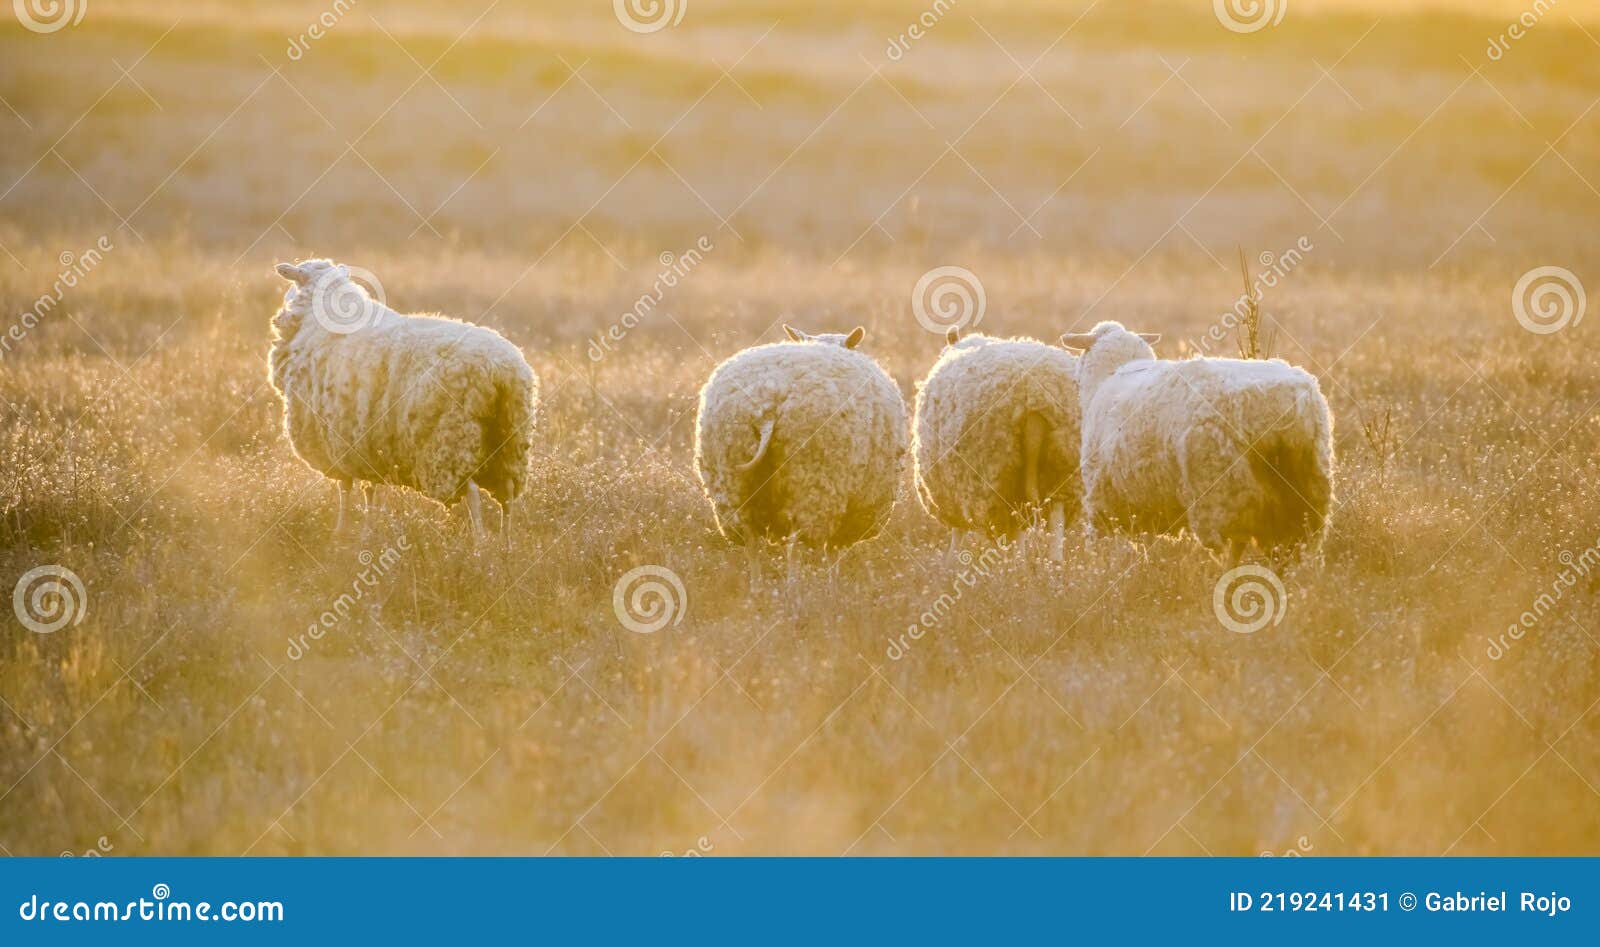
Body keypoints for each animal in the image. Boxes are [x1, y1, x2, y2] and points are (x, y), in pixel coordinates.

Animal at [268, 259, 539, 539]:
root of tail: (503, 370)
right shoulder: (363, 446)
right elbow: (370, 491)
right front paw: (367, 532)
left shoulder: (337, 447)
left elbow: (346, 490)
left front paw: (340, 532)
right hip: (509, 443)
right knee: (508, 498)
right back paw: (505, 543)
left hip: (454, 443)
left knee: (474, 494)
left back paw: (480, 542)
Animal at [694, 324, 908, 571]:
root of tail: (766, 405)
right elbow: (833, 551)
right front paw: (832, 574)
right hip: (814, 483)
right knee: (795, 544)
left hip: (731, 483)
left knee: (751, 540)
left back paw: (757, 580)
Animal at [911, 327, 1080, 561]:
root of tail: (1034, 396)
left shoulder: (953, 493)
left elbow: (958, 531)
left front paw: (951, 560)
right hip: (1063, 466)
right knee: (1055, 518)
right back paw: (1052, 562)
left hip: (994, 476)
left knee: (1016, 527)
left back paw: (1015, 563)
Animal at [1061, 320, 1333, 557]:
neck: (1112, 373)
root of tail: (1275, 404)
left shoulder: (1101, 501)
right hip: (1309, 490)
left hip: (1221, 493)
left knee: (1232, 549)